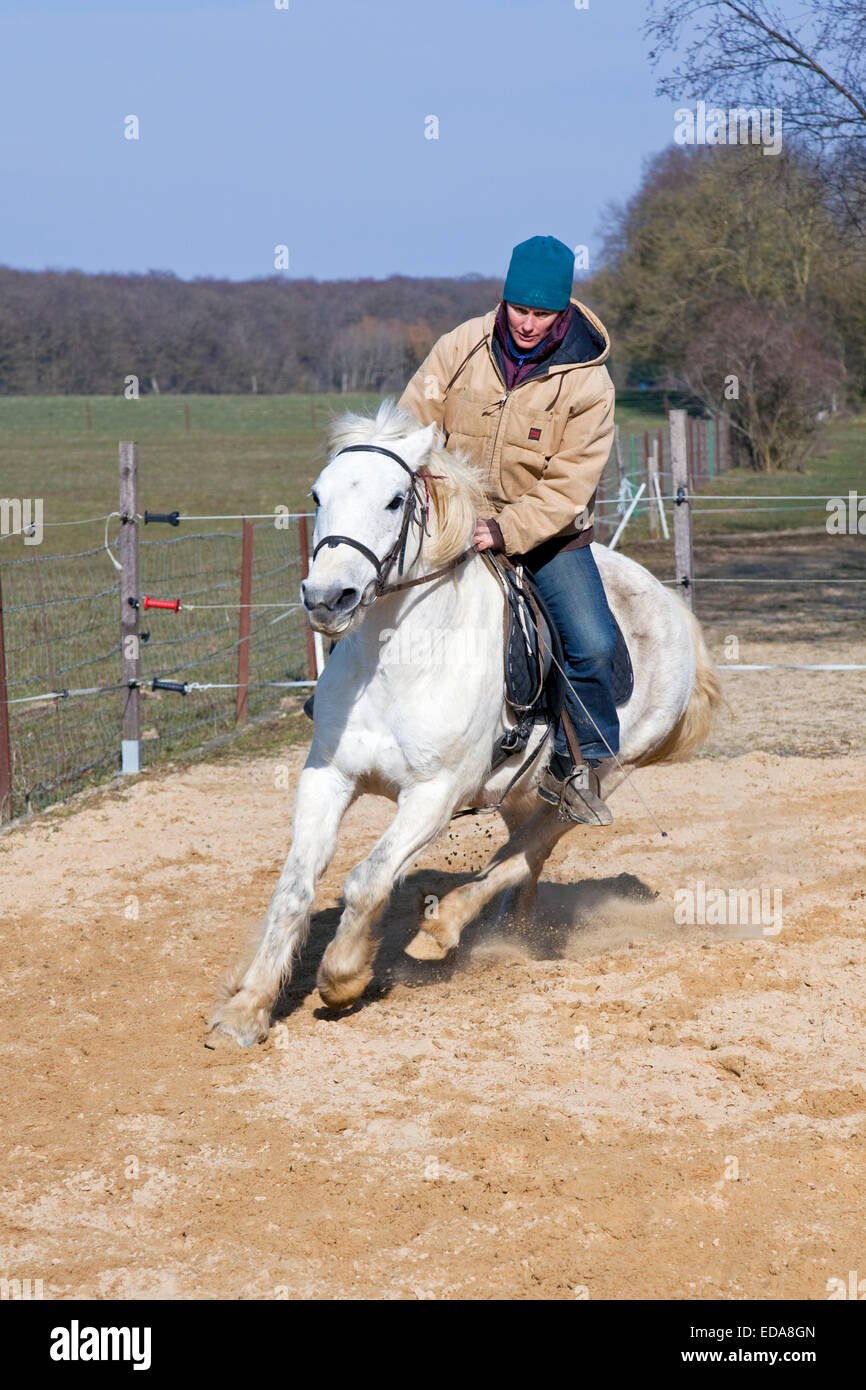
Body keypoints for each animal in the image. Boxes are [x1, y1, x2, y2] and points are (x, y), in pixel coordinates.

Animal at [206, 399, 721, 1048]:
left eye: (394, 500)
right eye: (318, 495)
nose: (328, 597)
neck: (397, 661)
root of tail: (672, 608)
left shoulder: (433, 794)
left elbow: (367, 879)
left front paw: (342, 978)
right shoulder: (327, 776)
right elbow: (294, 888)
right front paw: (246, 1008)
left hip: (600, 777)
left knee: (530, 848)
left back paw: (445, 927)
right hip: (524, 788)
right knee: (525, 853)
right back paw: (507, 935)